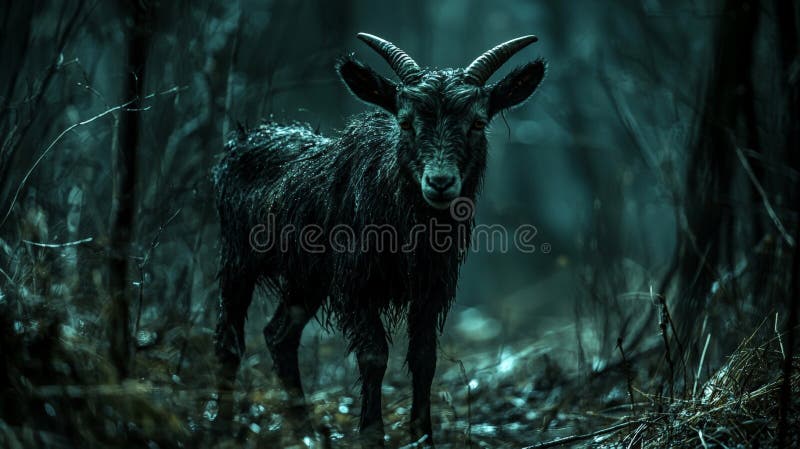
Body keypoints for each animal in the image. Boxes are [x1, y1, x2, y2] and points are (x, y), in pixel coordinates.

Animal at [212, 33, 545, 447]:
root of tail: (238, 143)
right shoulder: (356, 283)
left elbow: (424, 358)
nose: (440, 182)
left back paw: (306, 434)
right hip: (238, 257)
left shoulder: (431, 287)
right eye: (405, 121)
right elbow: (374, 356)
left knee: (279, 335)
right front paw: (372, 434)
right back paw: (223, 429)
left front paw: (423, 436)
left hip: (308, 279)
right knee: (229, 341)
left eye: (478, 121)